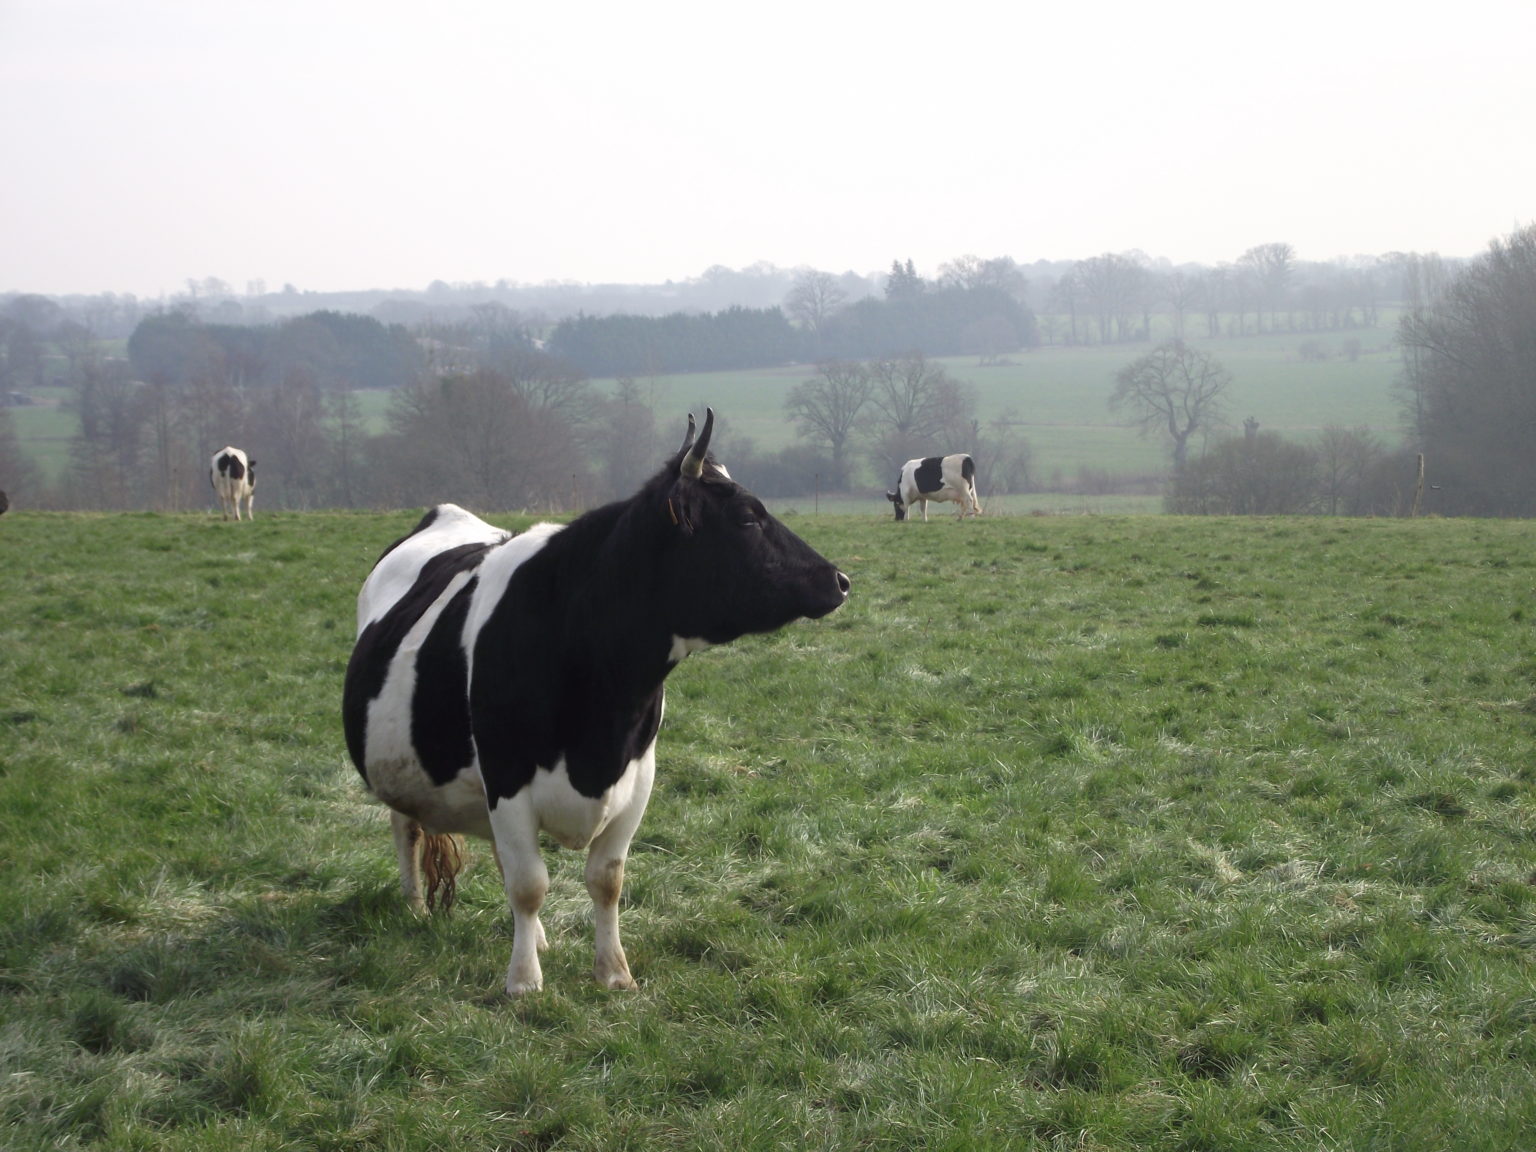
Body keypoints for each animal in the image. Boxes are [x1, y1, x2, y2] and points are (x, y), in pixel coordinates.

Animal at [342, 409, 850, 996]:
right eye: (747, 517)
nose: (839, 579)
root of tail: (447, 514)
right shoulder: (507, 774)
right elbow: (529, 884)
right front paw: (523, 982)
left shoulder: (638, 777)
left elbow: (605, 880)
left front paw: (613, 972)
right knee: (408, 828)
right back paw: (417, 906)